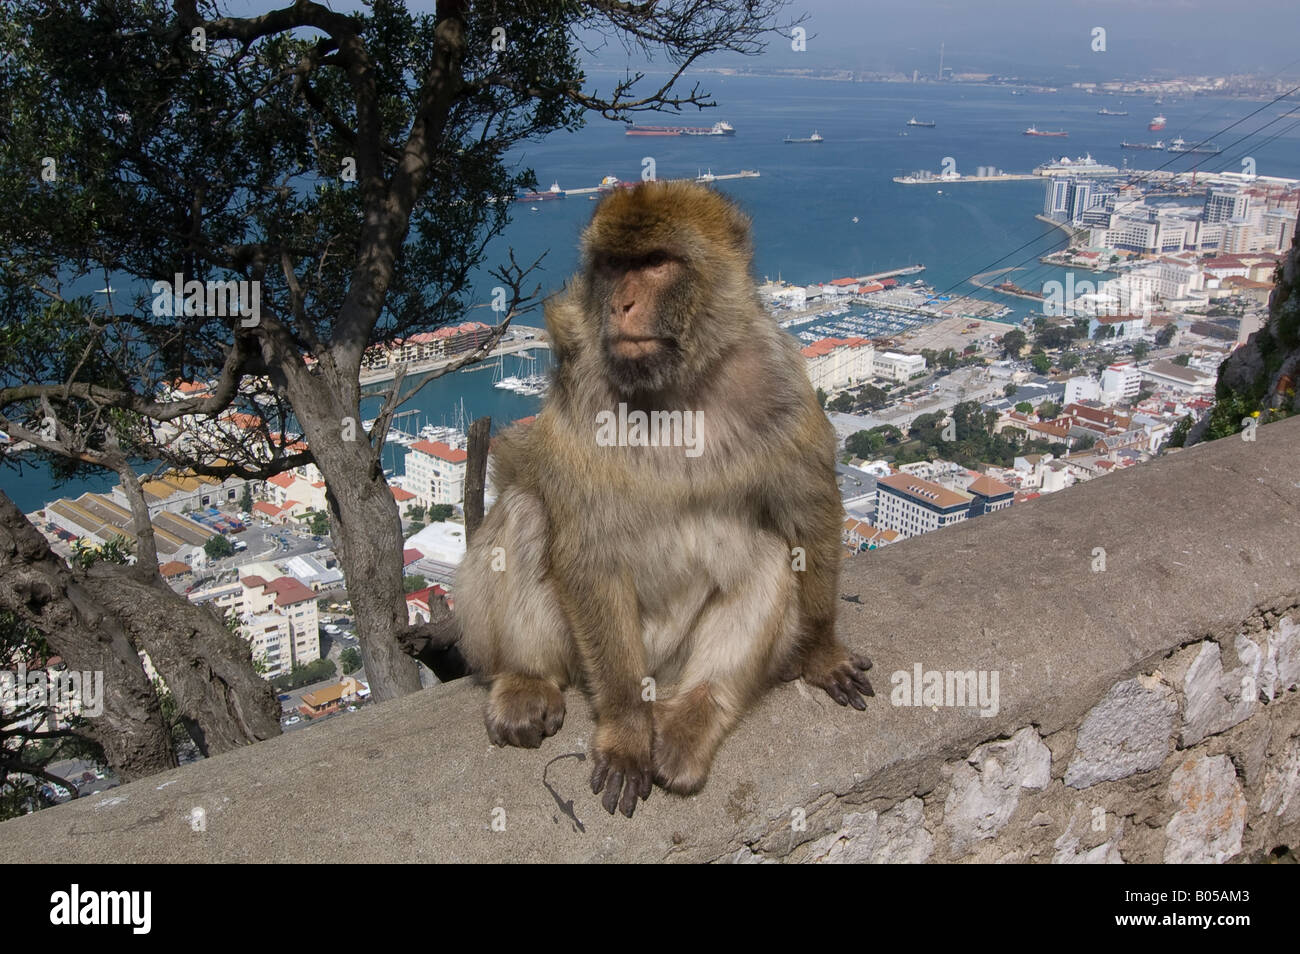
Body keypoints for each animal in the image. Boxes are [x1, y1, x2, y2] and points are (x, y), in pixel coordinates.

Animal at [455, 179, 872, 818]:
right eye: (613, 266)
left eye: (654, 263)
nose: (620, 305)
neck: (677, 385)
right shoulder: (584, 388)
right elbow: (587, 547)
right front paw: (627, 733)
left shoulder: (779, 379)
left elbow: (808, 515)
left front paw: (824, 649)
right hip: (594, 656)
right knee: (528, 513)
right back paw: (527, 679)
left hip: (677, 658)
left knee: (771, 557)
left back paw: (692, 721)